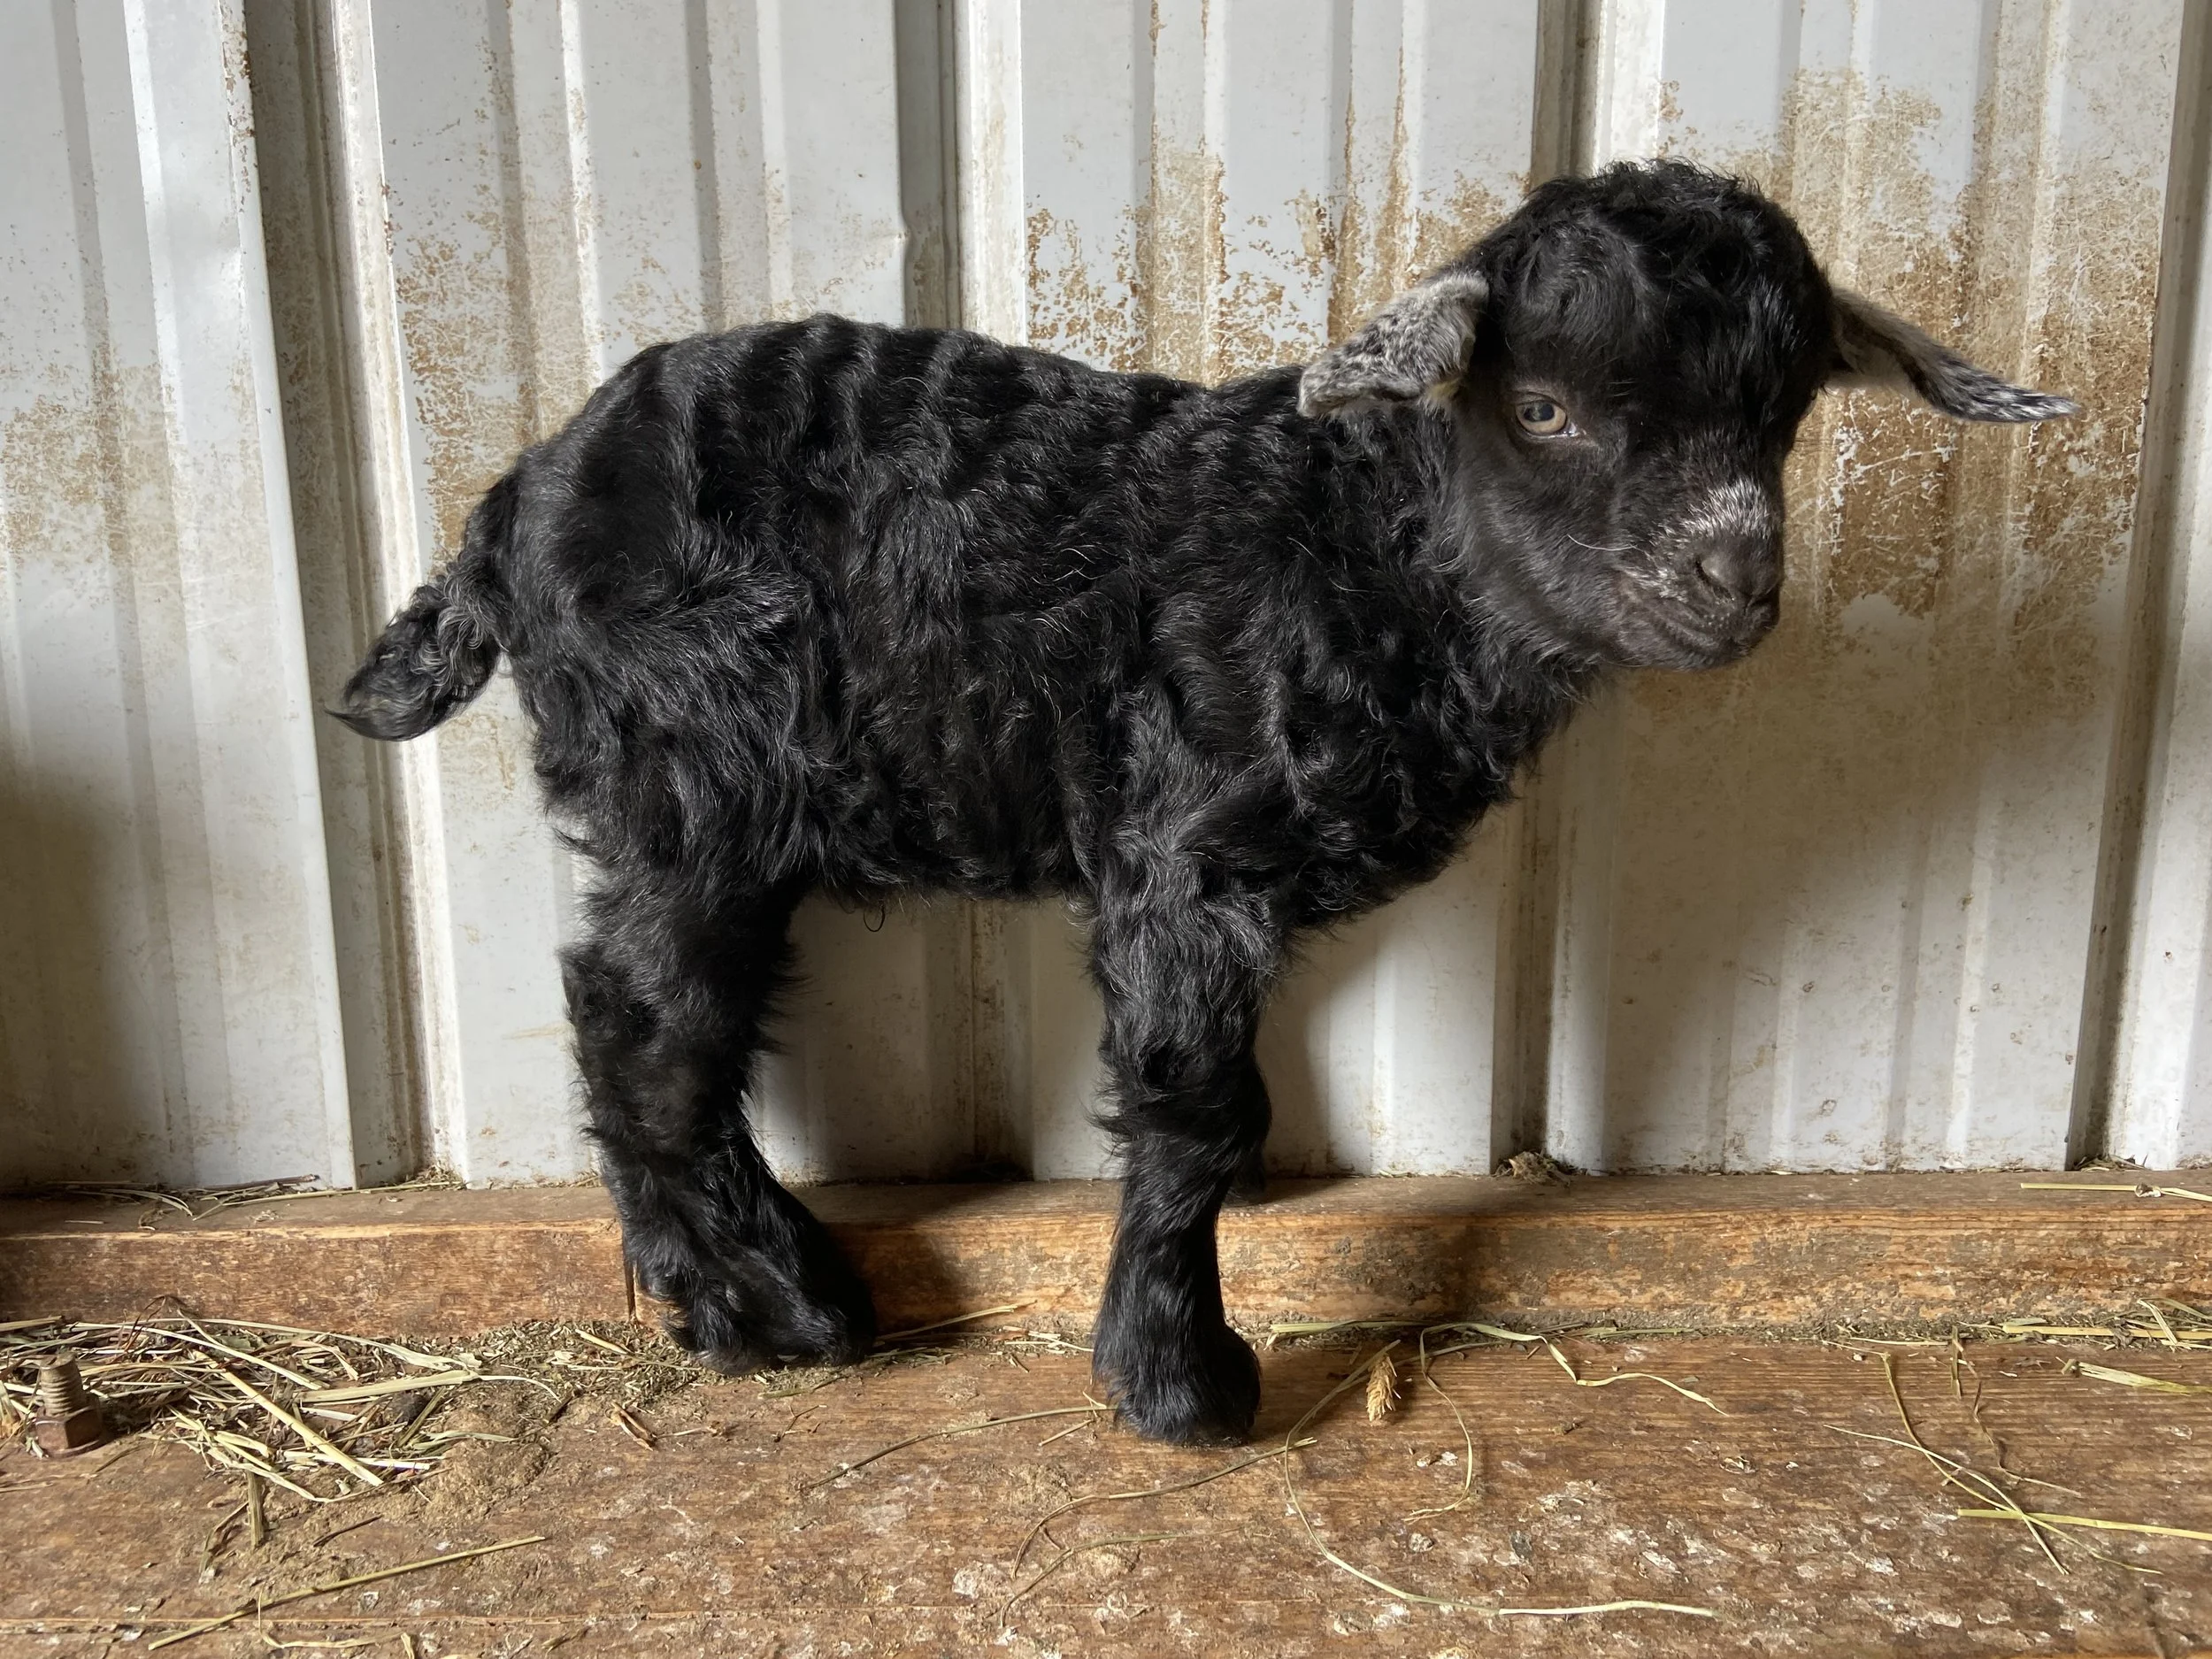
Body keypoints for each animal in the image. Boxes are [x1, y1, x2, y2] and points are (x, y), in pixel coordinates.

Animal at [336, 160, 2075, 1445]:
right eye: (1547, 409)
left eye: (1783, 417)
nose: (1733, 582)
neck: (1358, 544)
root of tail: (510, 504)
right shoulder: (1183, 855)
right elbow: (1202, 1111)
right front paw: (1179, 1382)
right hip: (694, 770)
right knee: (645, 1019)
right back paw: (773, 1307)